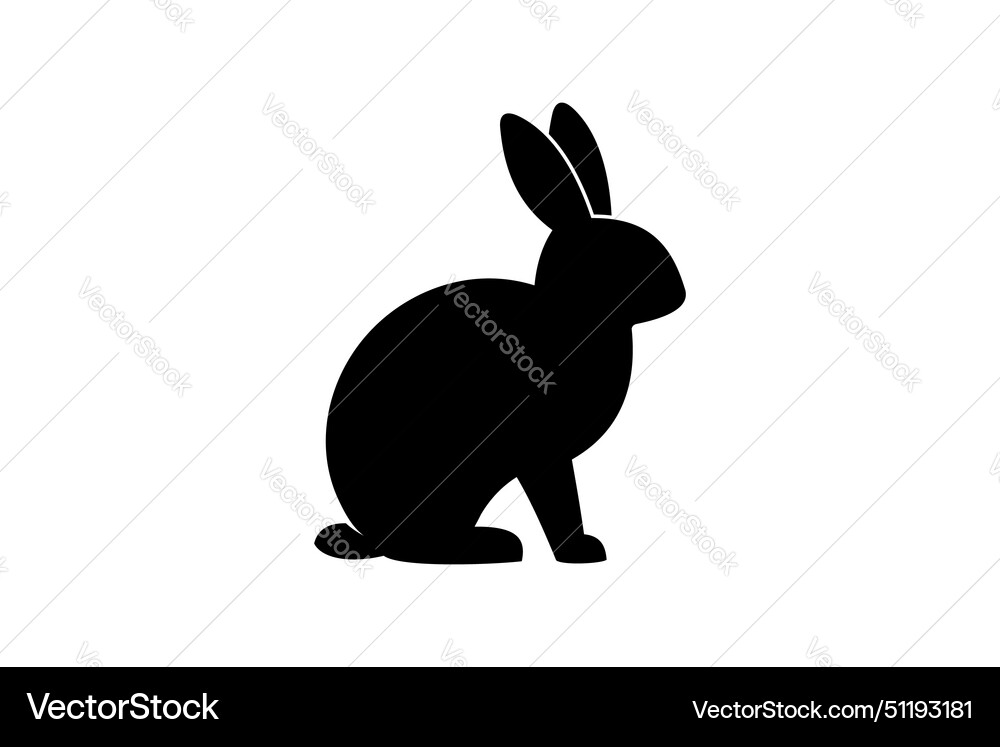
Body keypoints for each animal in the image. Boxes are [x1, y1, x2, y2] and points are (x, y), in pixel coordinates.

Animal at [316, 103, 686, 565]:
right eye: (619, 254)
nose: (680, 293)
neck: (571, 313)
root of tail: (371, 540)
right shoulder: (543, 454)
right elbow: (559, 500)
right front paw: (581, 552)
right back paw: (495, 544)